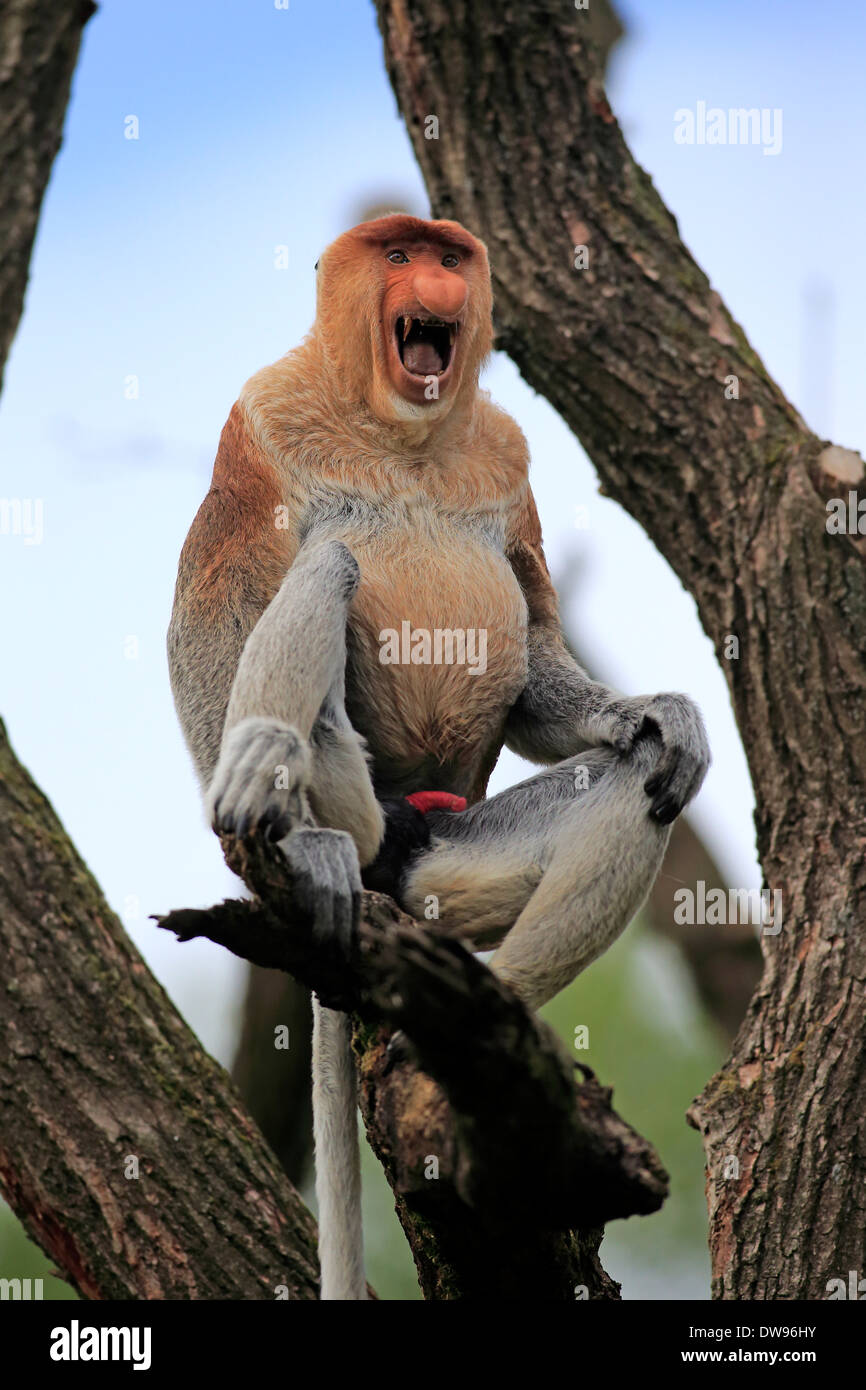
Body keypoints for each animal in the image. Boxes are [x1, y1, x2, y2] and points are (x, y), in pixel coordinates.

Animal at [167, 213, 710, 1300]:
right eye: (396, 253)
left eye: (449, 256)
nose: (435, 281)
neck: (402, 438)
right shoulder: (260, 419)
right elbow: (208, 611)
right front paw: (246, 775)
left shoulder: (509, 457)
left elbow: (536, 641)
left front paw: (660, 713)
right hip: (358, 801)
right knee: (327, 563)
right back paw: (297, 828)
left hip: (442, 861)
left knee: (634, 789)